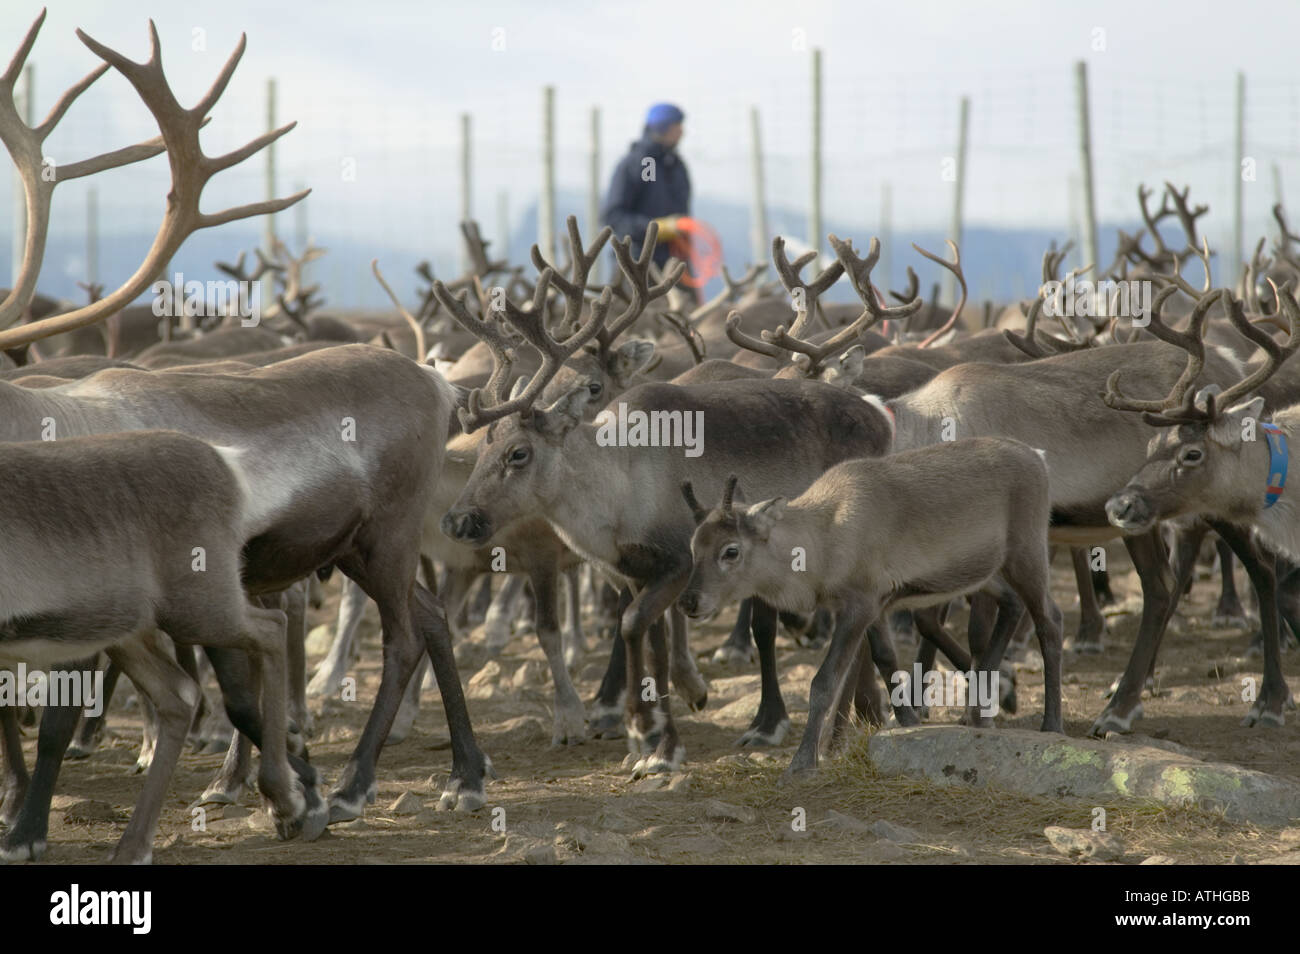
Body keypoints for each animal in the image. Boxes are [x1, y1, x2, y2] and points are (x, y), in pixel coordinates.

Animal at [0, 14, 488, 859]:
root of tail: (436, 381)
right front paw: (289, 780)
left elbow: (66, 714)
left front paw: (28, 828)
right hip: (351, 544)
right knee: (429, 617)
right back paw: (461, 771)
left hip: (391, 529)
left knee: (403, 635)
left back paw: (359, 783)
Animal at [678, 437, 1064, 775]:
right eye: (693, 546)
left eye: (731, 550)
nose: (689, 601)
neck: (823, 540)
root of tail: (1039, 458)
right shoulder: (877, 604)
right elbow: (886, 661)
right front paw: (907, 724)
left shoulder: (859, 604)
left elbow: (825, 682)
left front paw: (802, 763)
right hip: (988, 572)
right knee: (1013, 605)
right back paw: (981, 711)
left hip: (1027, 552)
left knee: (1050, 620)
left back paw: (1051, 723)